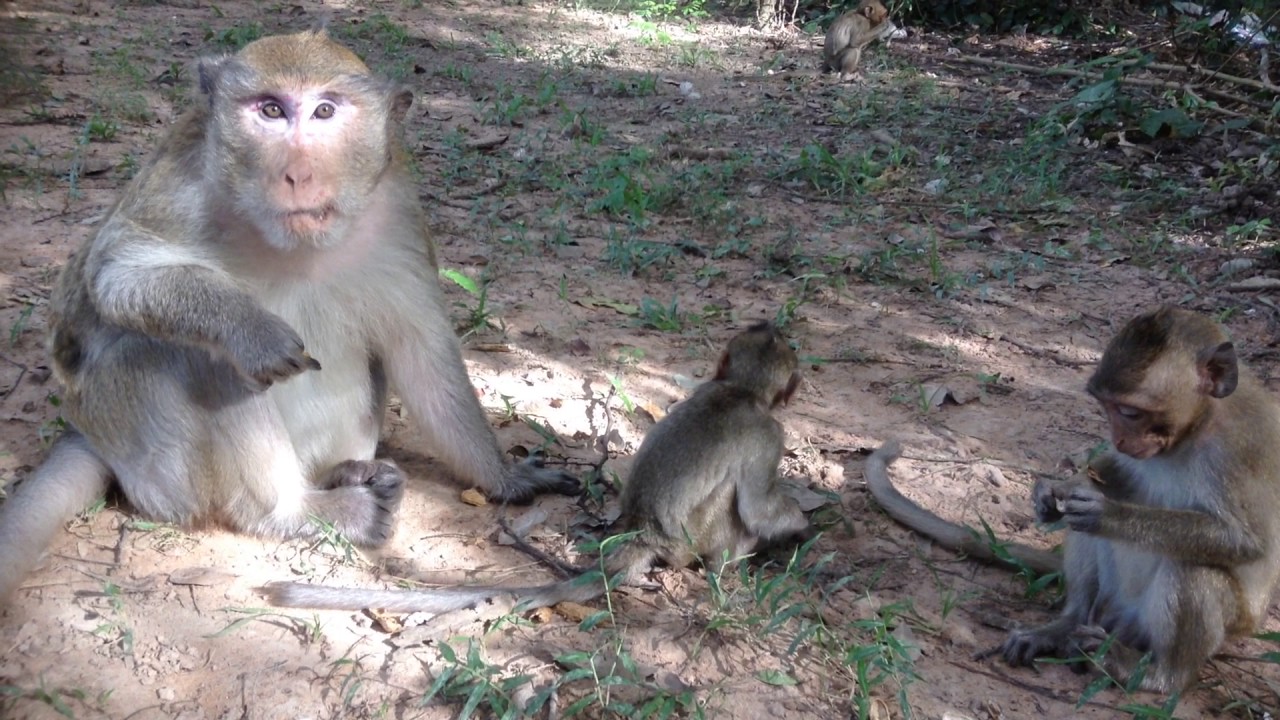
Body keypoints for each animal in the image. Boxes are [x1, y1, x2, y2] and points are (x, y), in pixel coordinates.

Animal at [0, 29, 578, 607]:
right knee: (188, 355)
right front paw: (248, 328)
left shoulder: (397, 214)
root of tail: (88, 431)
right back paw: (302, 508)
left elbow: (422, 355)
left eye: (325, 111)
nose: (297, 173)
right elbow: (114, 276)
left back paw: (346, 474)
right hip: (150, 461)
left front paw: (504, 477)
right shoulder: (179, 187)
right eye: (271, 110)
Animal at [264, 321, 814, 614]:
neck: (738, 391)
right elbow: (759, 507)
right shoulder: (770, 435)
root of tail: (647, 531)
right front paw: (801, 526)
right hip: (696, 541)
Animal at [866, 306, 1280, 694]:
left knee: (1194, 567)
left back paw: (1161, 674)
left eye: (1130, 412)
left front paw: (1109, 515)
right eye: (1106, 408)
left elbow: (1245, 542)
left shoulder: (1238, 451)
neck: (1197, 426)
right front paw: (1055, 492)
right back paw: (1064, 627)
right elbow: (1116, 474)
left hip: (1226, 625)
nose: (1119, 438)